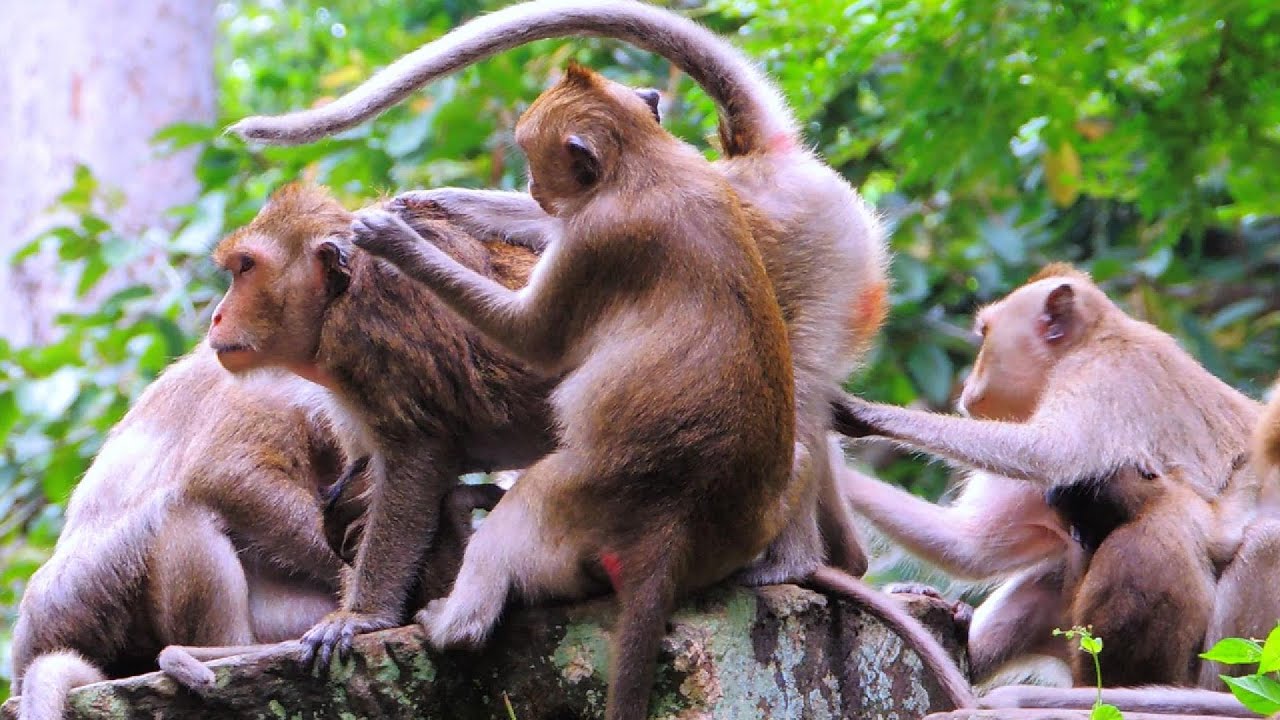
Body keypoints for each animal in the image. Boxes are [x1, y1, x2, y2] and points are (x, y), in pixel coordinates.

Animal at [228, 0, 892, 585]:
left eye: (245, 273)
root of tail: (758, 165)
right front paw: (435, 206)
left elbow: (532, 338)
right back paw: (841, 559)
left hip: (820, 264)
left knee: (795, 387)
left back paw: (794, 560)